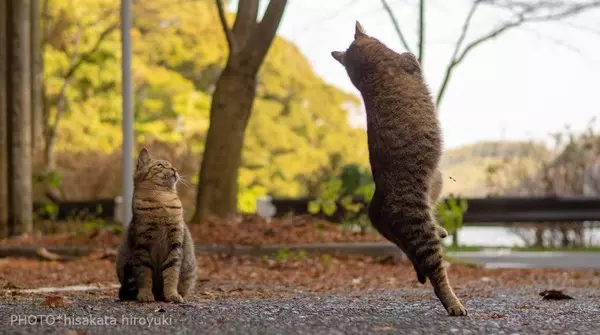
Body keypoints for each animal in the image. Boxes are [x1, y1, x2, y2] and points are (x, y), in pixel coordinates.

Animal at [114, 148, 195, 304]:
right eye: (160, 165)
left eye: (171, 165)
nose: (175, 169)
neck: (161, 201)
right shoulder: (141, 246)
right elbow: (144, 275)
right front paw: (145, 294)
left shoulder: (175, 245)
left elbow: (172, 274)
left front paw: (172, 295)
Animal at [330, 21, 466, 318]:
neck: (366, 67)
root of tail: (375, 206)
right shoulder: (409, 59)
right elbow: (410, 56)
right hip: (420, 222)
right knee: (435, 272)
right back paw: (453, 303)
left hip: (434, 183)